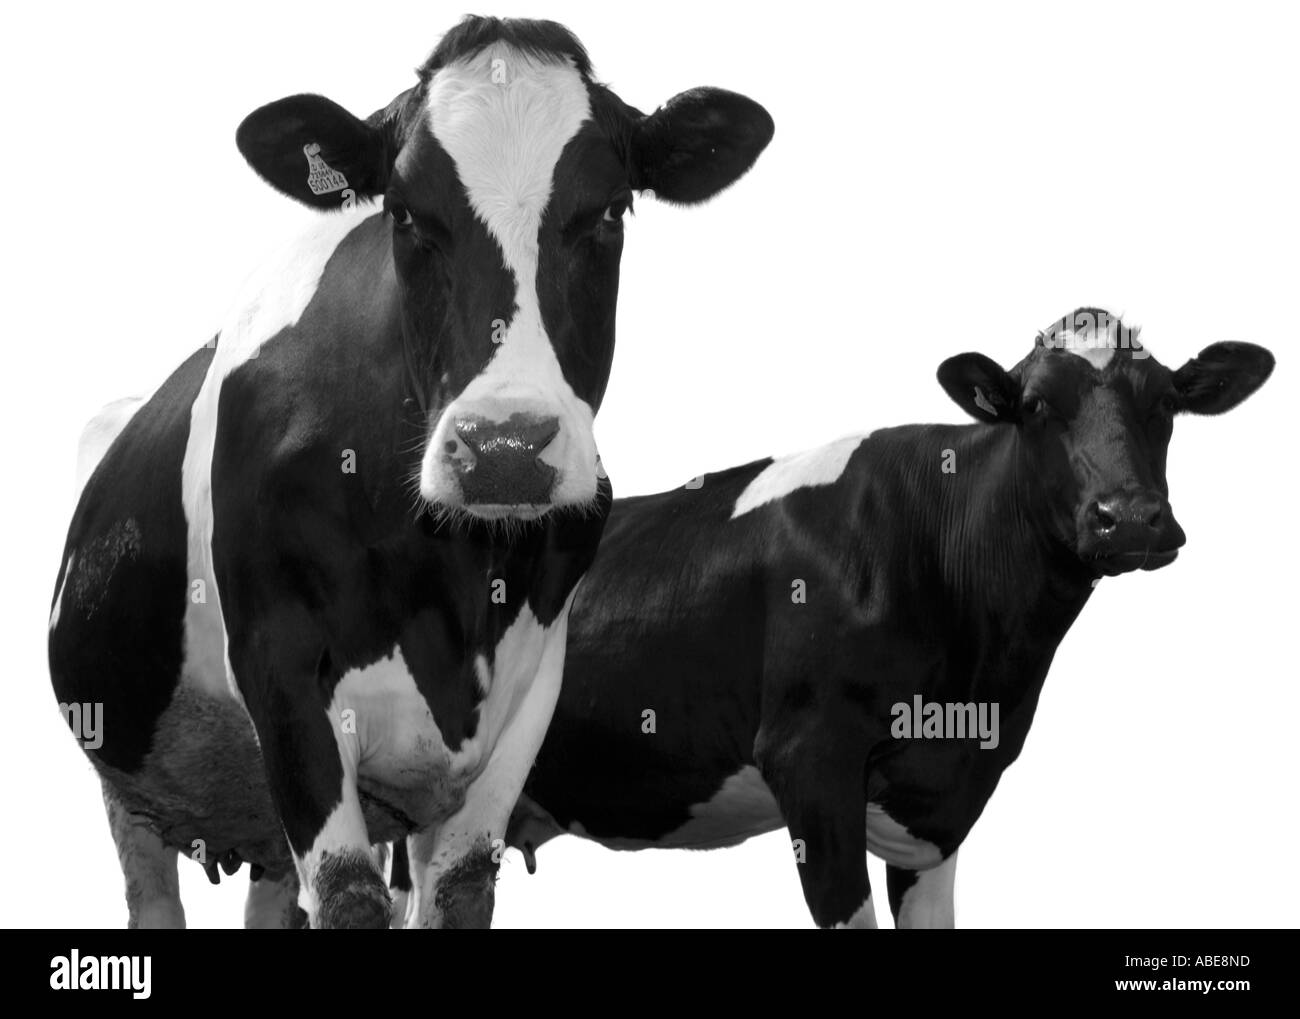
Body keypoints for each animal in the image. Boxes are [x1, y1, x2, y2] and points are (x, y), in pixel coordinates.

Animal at [48, 15, 773, 929]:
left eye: (610, 211)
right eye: (404, 214)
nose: (503, 447)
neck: (452, 580)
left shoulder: (532, 689)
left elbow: (460, 887)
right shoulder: (279, 669)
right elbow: (350, 892)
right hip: (128, 774)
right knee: (151, 892)